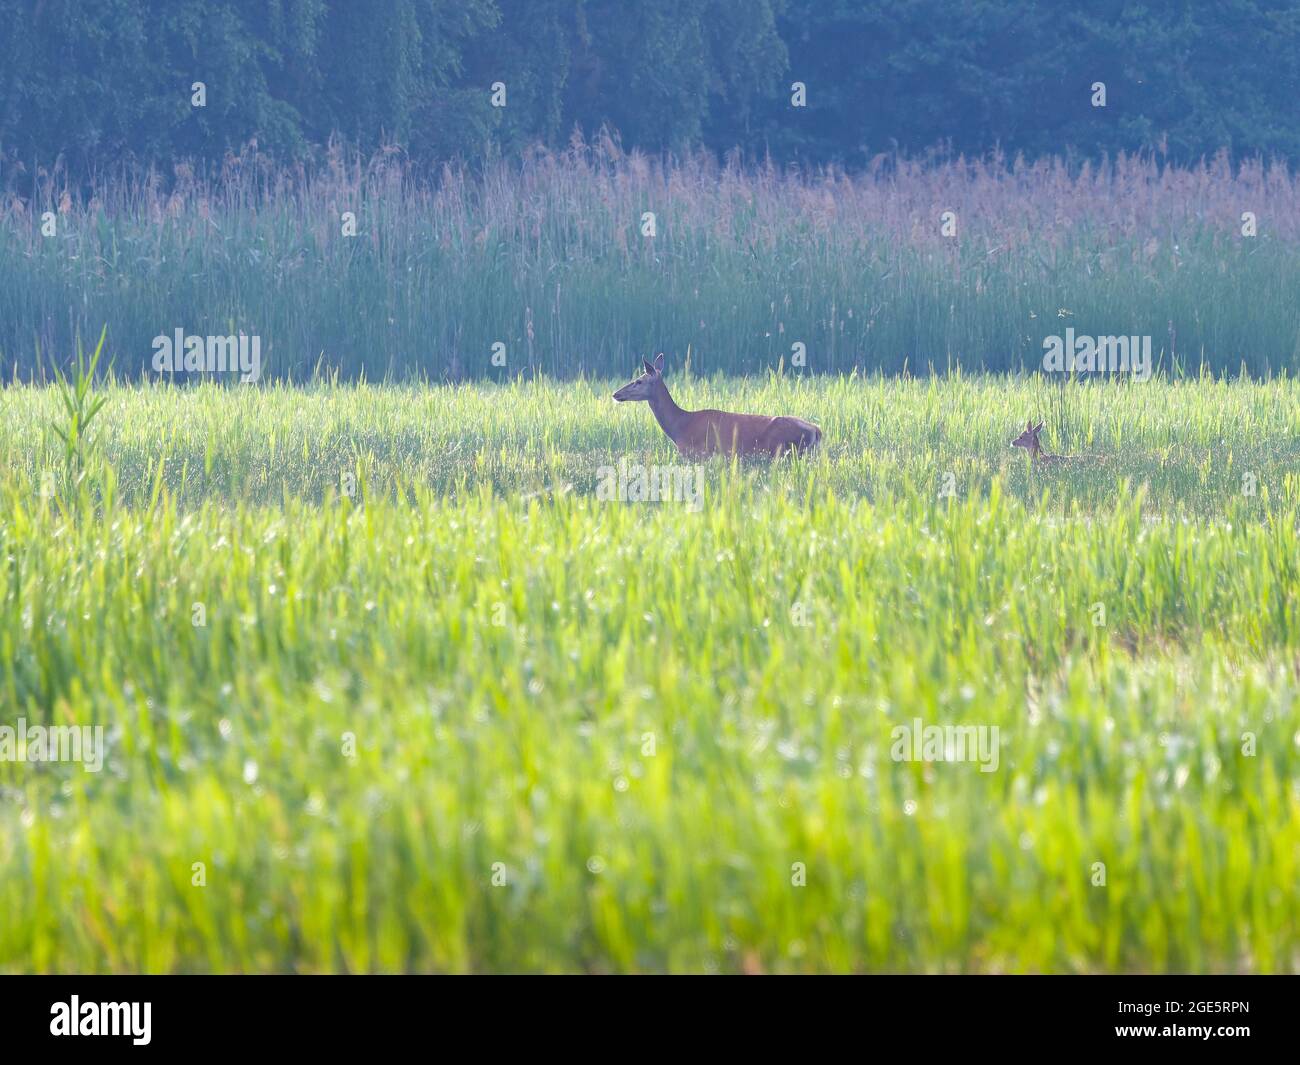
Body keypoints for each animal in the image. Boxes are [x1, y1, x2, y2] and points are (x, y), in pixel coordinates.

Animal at [613, 353, 822, 458]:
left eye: (639, 381)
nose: (616, 394)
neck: (680, 426)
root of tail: (816, 430)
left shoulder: (698, 454)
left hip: (783, 451)